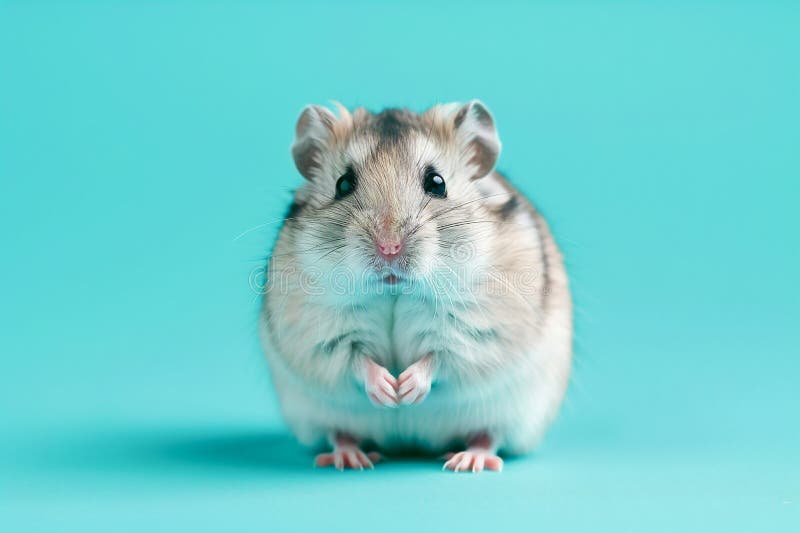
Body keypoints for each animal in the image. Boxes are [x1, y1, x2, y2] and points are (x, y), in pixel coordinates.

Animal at [259, 101, 572, 472]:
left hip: (515, 412)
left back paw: (468, 460)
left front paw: (405, 389)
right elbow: (353, 357)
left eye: (437, 183)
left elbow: (441, 354)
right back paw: (350, 457)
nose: (389, 248)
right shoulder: (321, 334)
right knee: (339, 432)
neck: (395, 291)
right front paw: (388, 390)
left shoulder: (477, 331)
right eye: (343, 184)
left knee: (489, 435)